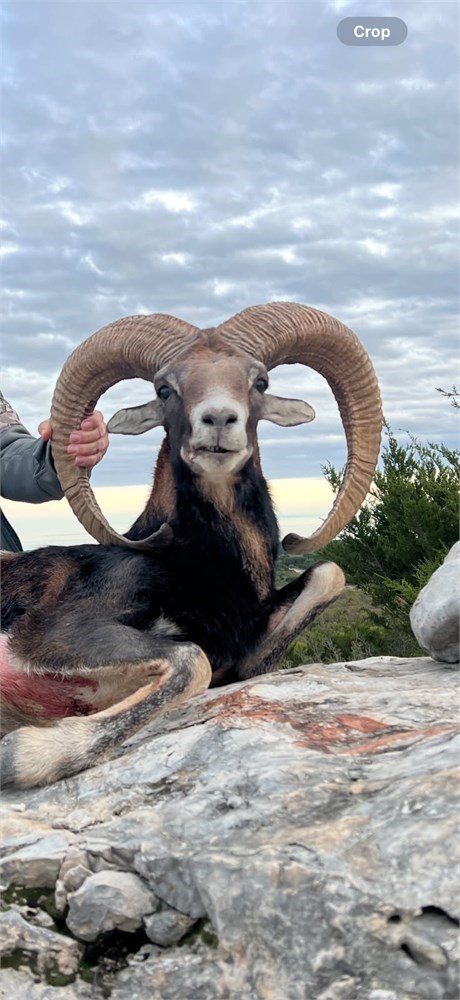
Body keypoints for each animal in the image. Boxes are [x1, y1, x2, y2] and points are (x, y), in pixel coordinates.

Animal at [0, 302, 382, 788]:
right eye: (165, 389)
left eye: (259, 381)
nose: (218, 420)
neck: (201, 565)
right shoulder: (56, 632)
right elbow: (190, 661)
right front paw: (22, 753)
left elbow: (329, 574)